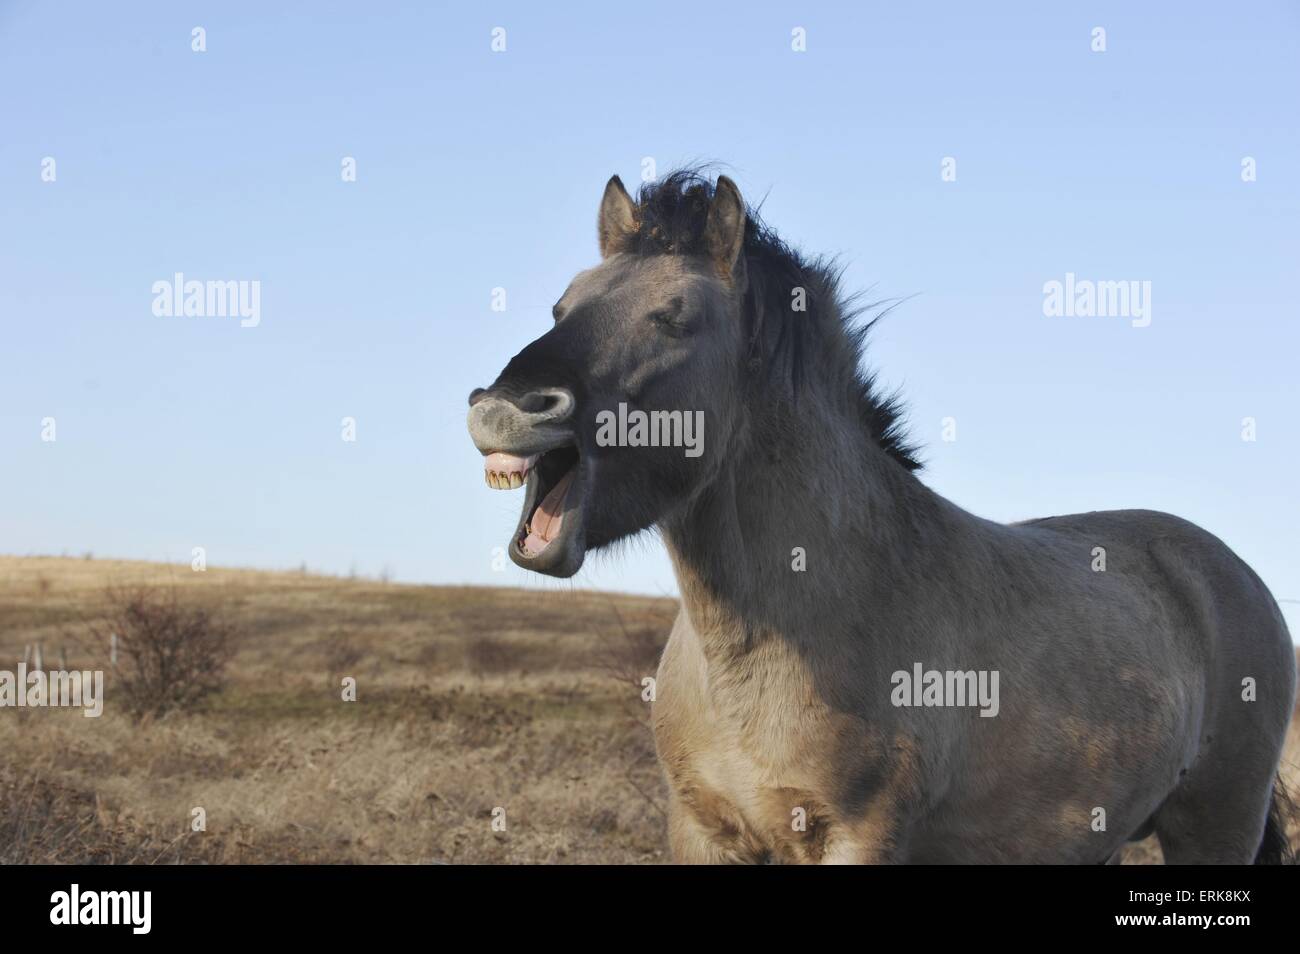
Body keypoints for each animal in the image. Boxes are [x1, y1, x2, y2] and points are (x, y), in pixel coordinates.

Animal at [466, 169, 1296, 863]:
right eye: (562, 306)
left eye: (674, 318)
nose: (504, 408)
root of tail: (1235, 574)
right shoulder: (703, 831)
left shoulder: (859, 836)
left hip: (1214, 826)